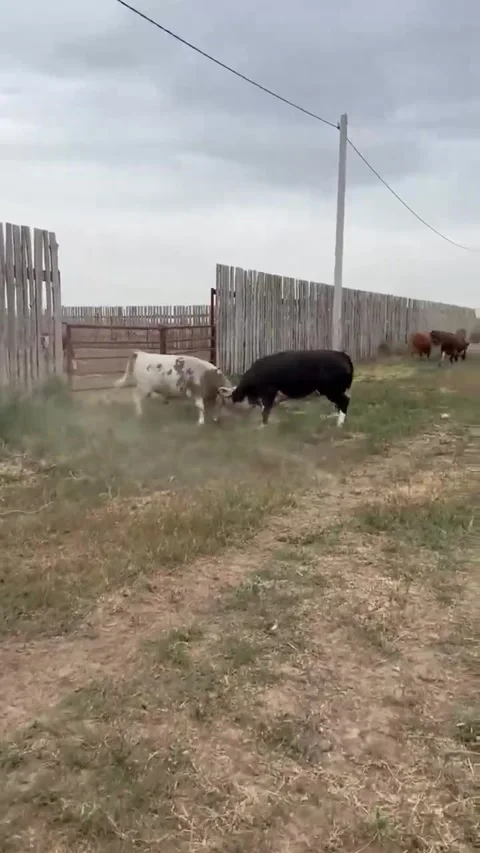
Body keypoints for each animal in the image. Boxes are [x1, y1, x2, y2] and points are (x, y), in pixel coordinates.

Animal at [218, 349, 354, 427]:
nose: (234, 399)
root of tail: (343, 355)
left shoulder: (269, 392)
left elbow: (266, 409)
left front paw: (263, 425)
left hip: (332, 390)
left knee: (344, 402)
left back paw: (339, 424)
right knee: (339, 404)